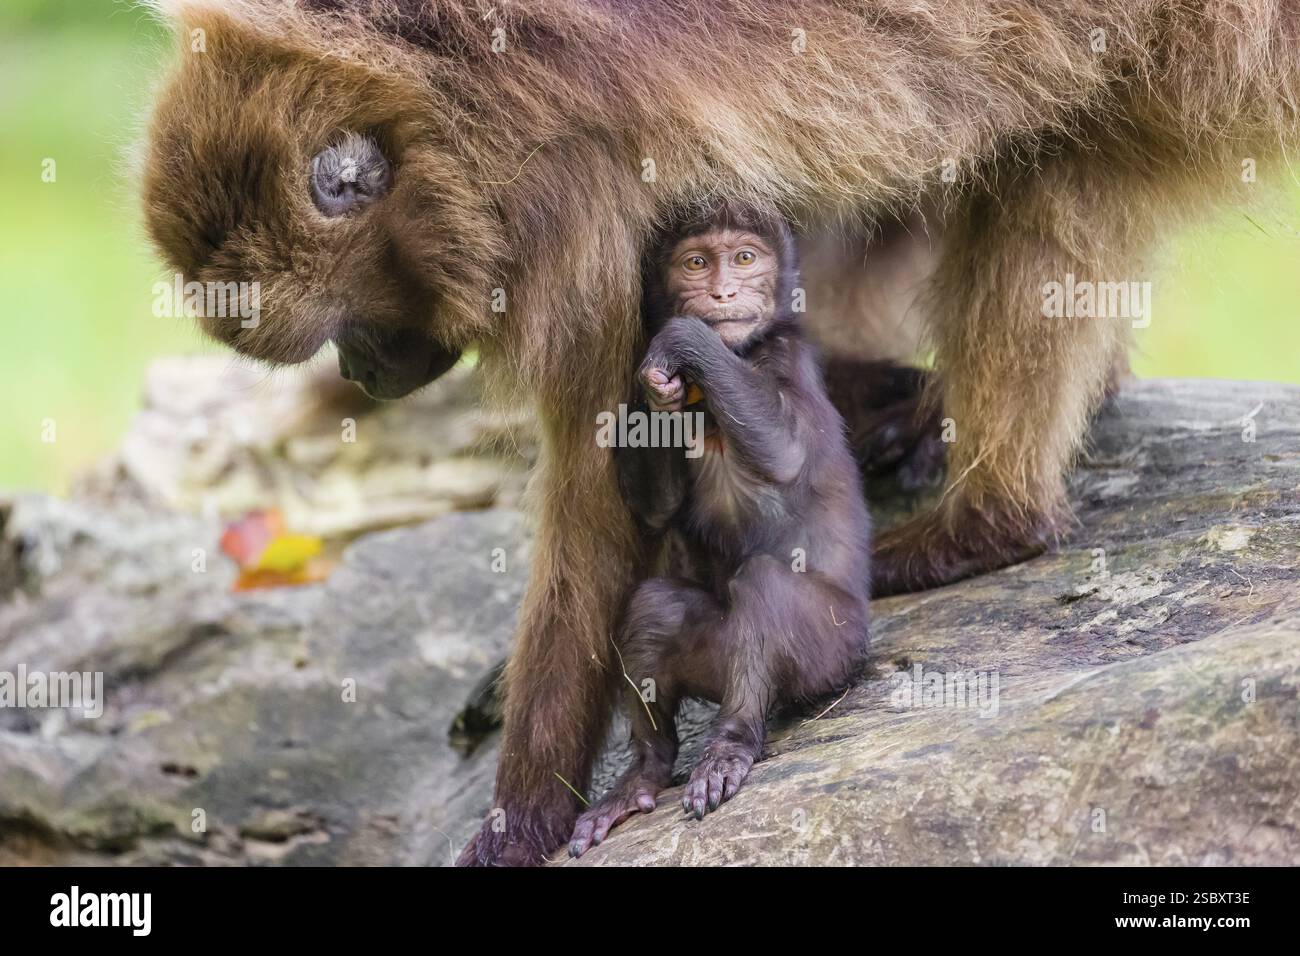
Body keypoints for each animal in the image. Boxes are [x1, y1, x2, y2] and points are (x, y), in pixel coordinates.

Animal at [566, 204, 871, 856]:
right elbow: (656, 509)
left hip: (837, 654)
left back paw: (732, 741)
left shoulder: (787, 354)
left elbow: (785, 451)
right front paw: (659, 390)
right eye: (697, 262)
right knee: (654, 607)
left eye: (746, 258)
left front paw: (682, 342)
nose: (722, 292)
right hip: (712, 655)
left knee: (765, 587)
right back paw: (644, 773)